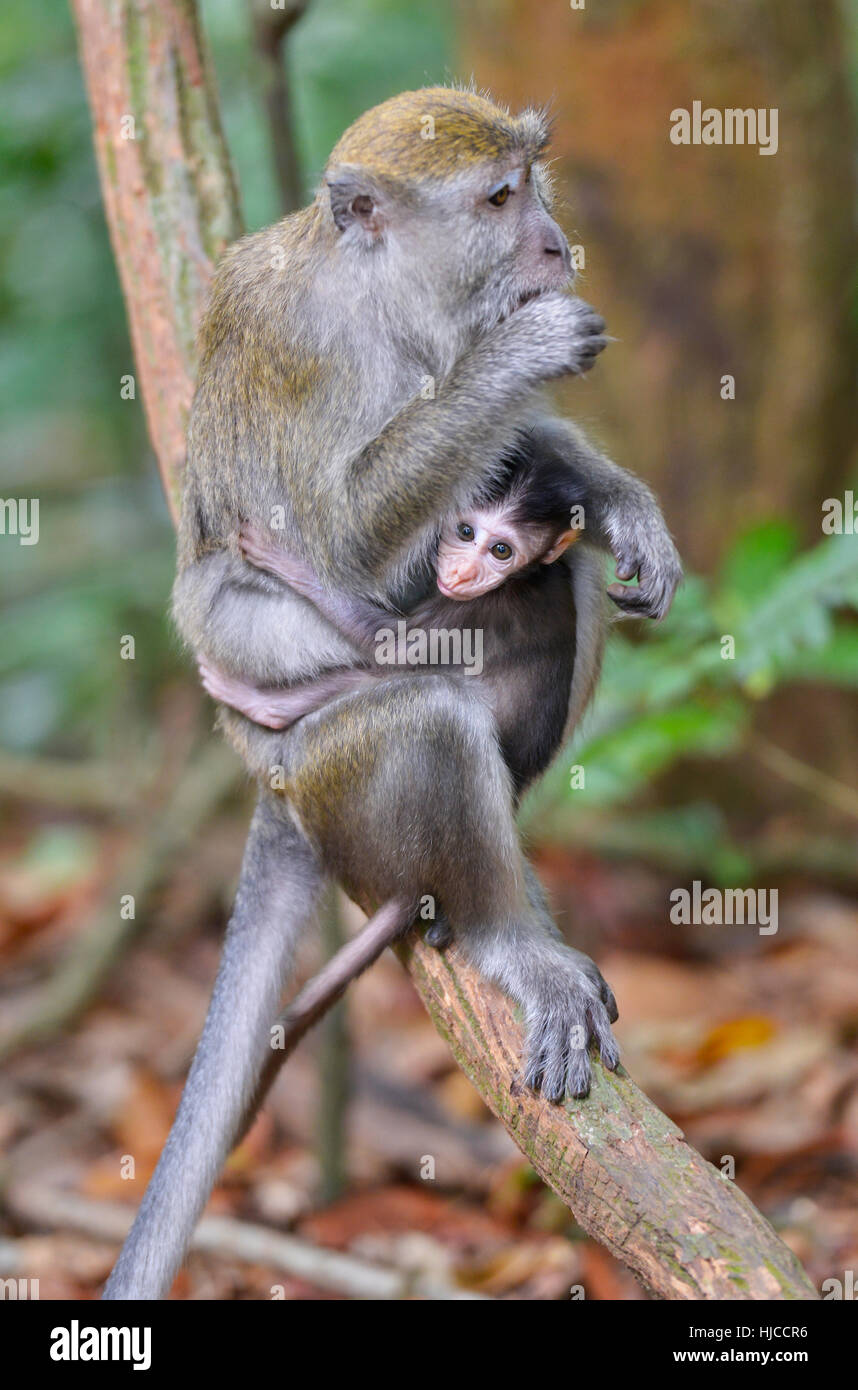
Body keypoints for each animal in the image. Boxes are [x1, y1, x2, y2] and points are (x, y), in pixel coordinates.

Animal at [104, 87, 681, 1300]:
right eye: (500, 199)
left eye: (532, 184)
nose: (554, 247)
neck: (380, 296)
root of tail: (269, 784)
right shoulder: (313, 362)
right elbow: (345, 534)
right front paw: (524, 350)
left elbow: (529, 466)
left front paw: (621, 500)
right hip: (320, 759)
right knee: (409, 705)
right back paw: (505, 930)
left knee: (563, 592)